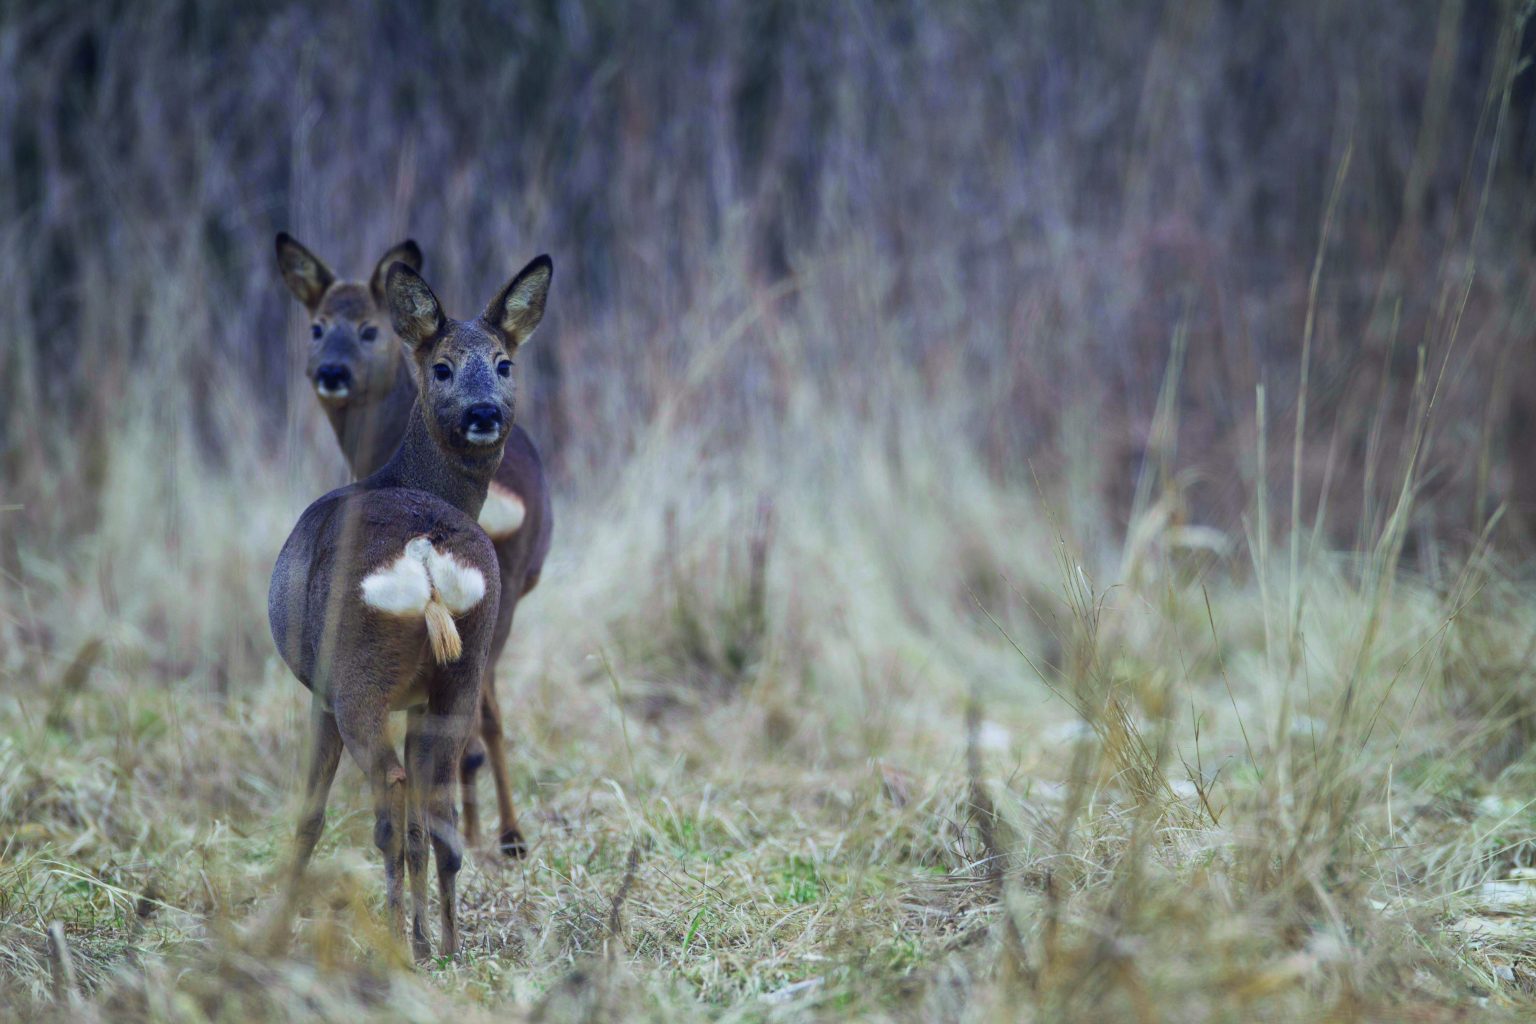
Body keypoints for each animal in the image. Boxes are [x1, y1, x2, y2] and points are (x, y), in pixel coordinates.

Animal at [267, 255, 552, 959]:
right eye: (443, 366)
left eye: (503, 362)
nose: (483, 411)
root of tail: (423, 553)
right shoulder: (422, 696)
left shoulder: (320, 690)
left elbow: (310, 814)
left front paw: (277, 922)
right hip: (460, 666)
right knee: (440, 798)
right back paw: (441, 943)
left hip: (357, 678)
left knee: (393, 794)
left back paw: (400, 941)